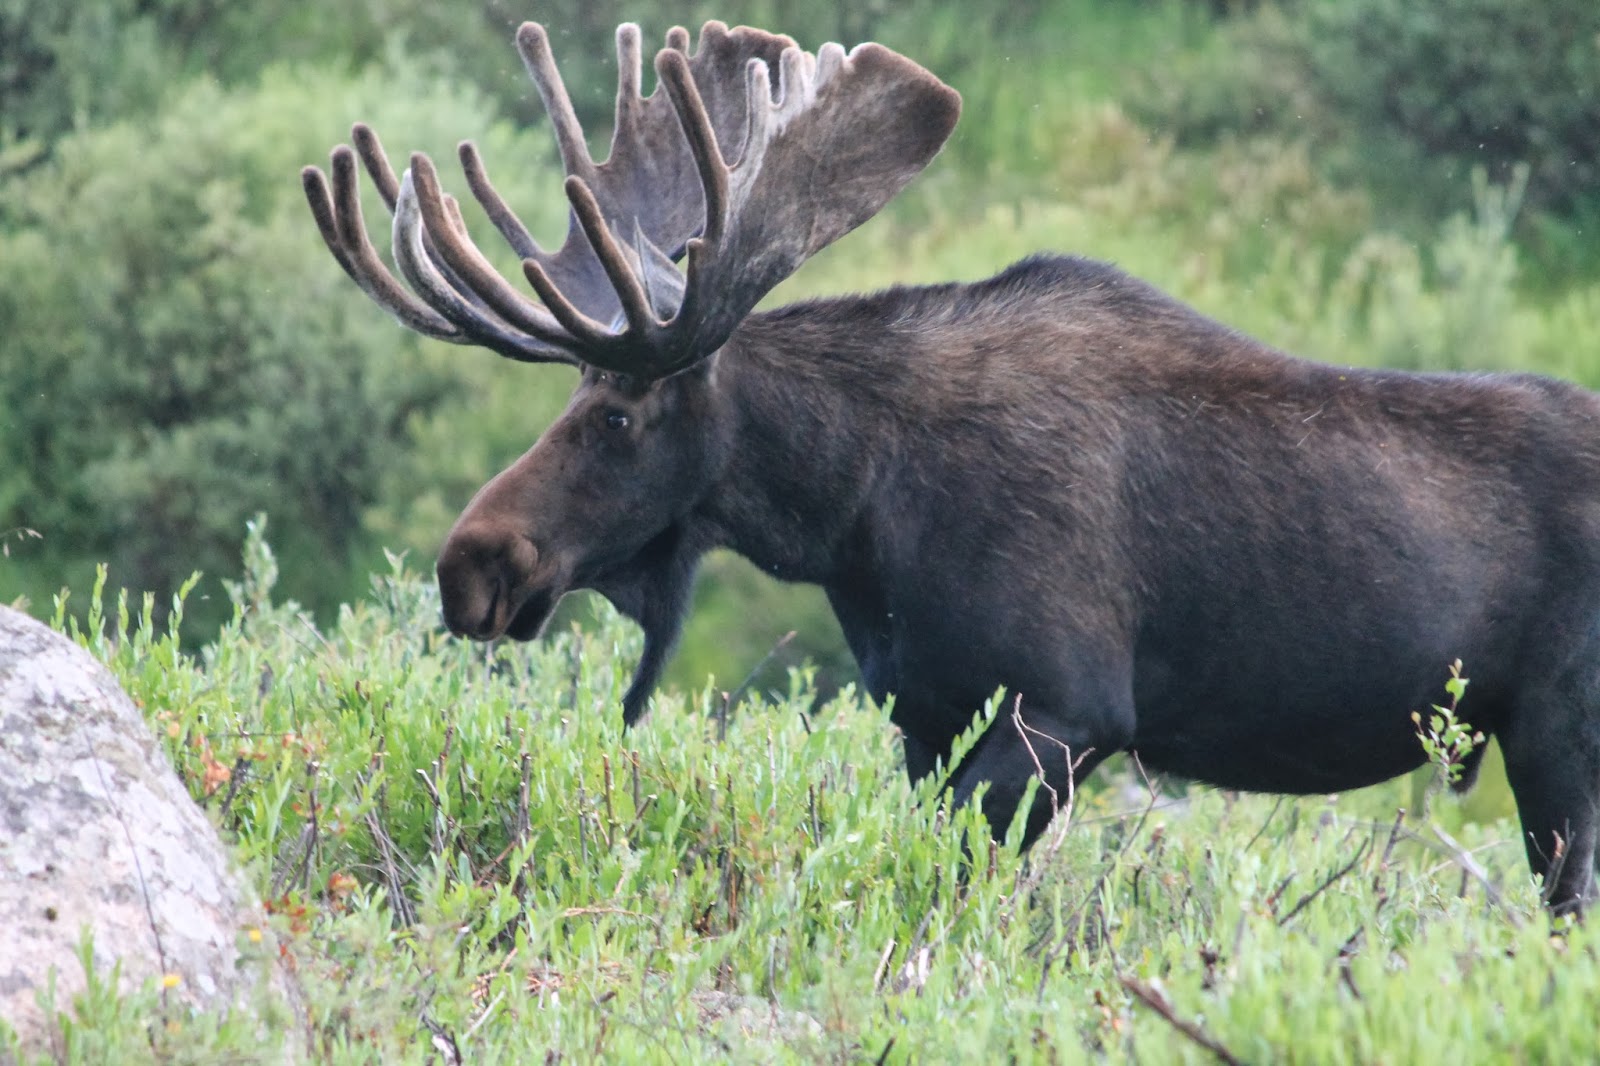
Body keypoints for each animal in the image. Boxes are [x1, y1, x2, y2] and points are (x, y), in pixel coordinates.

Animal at [304, 20, 1600, 915]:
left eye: (617, 415)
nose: (471, 562)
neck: (854, 513)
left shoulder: (1067, 707)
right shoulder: (921, 713)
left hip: (1557, 733)